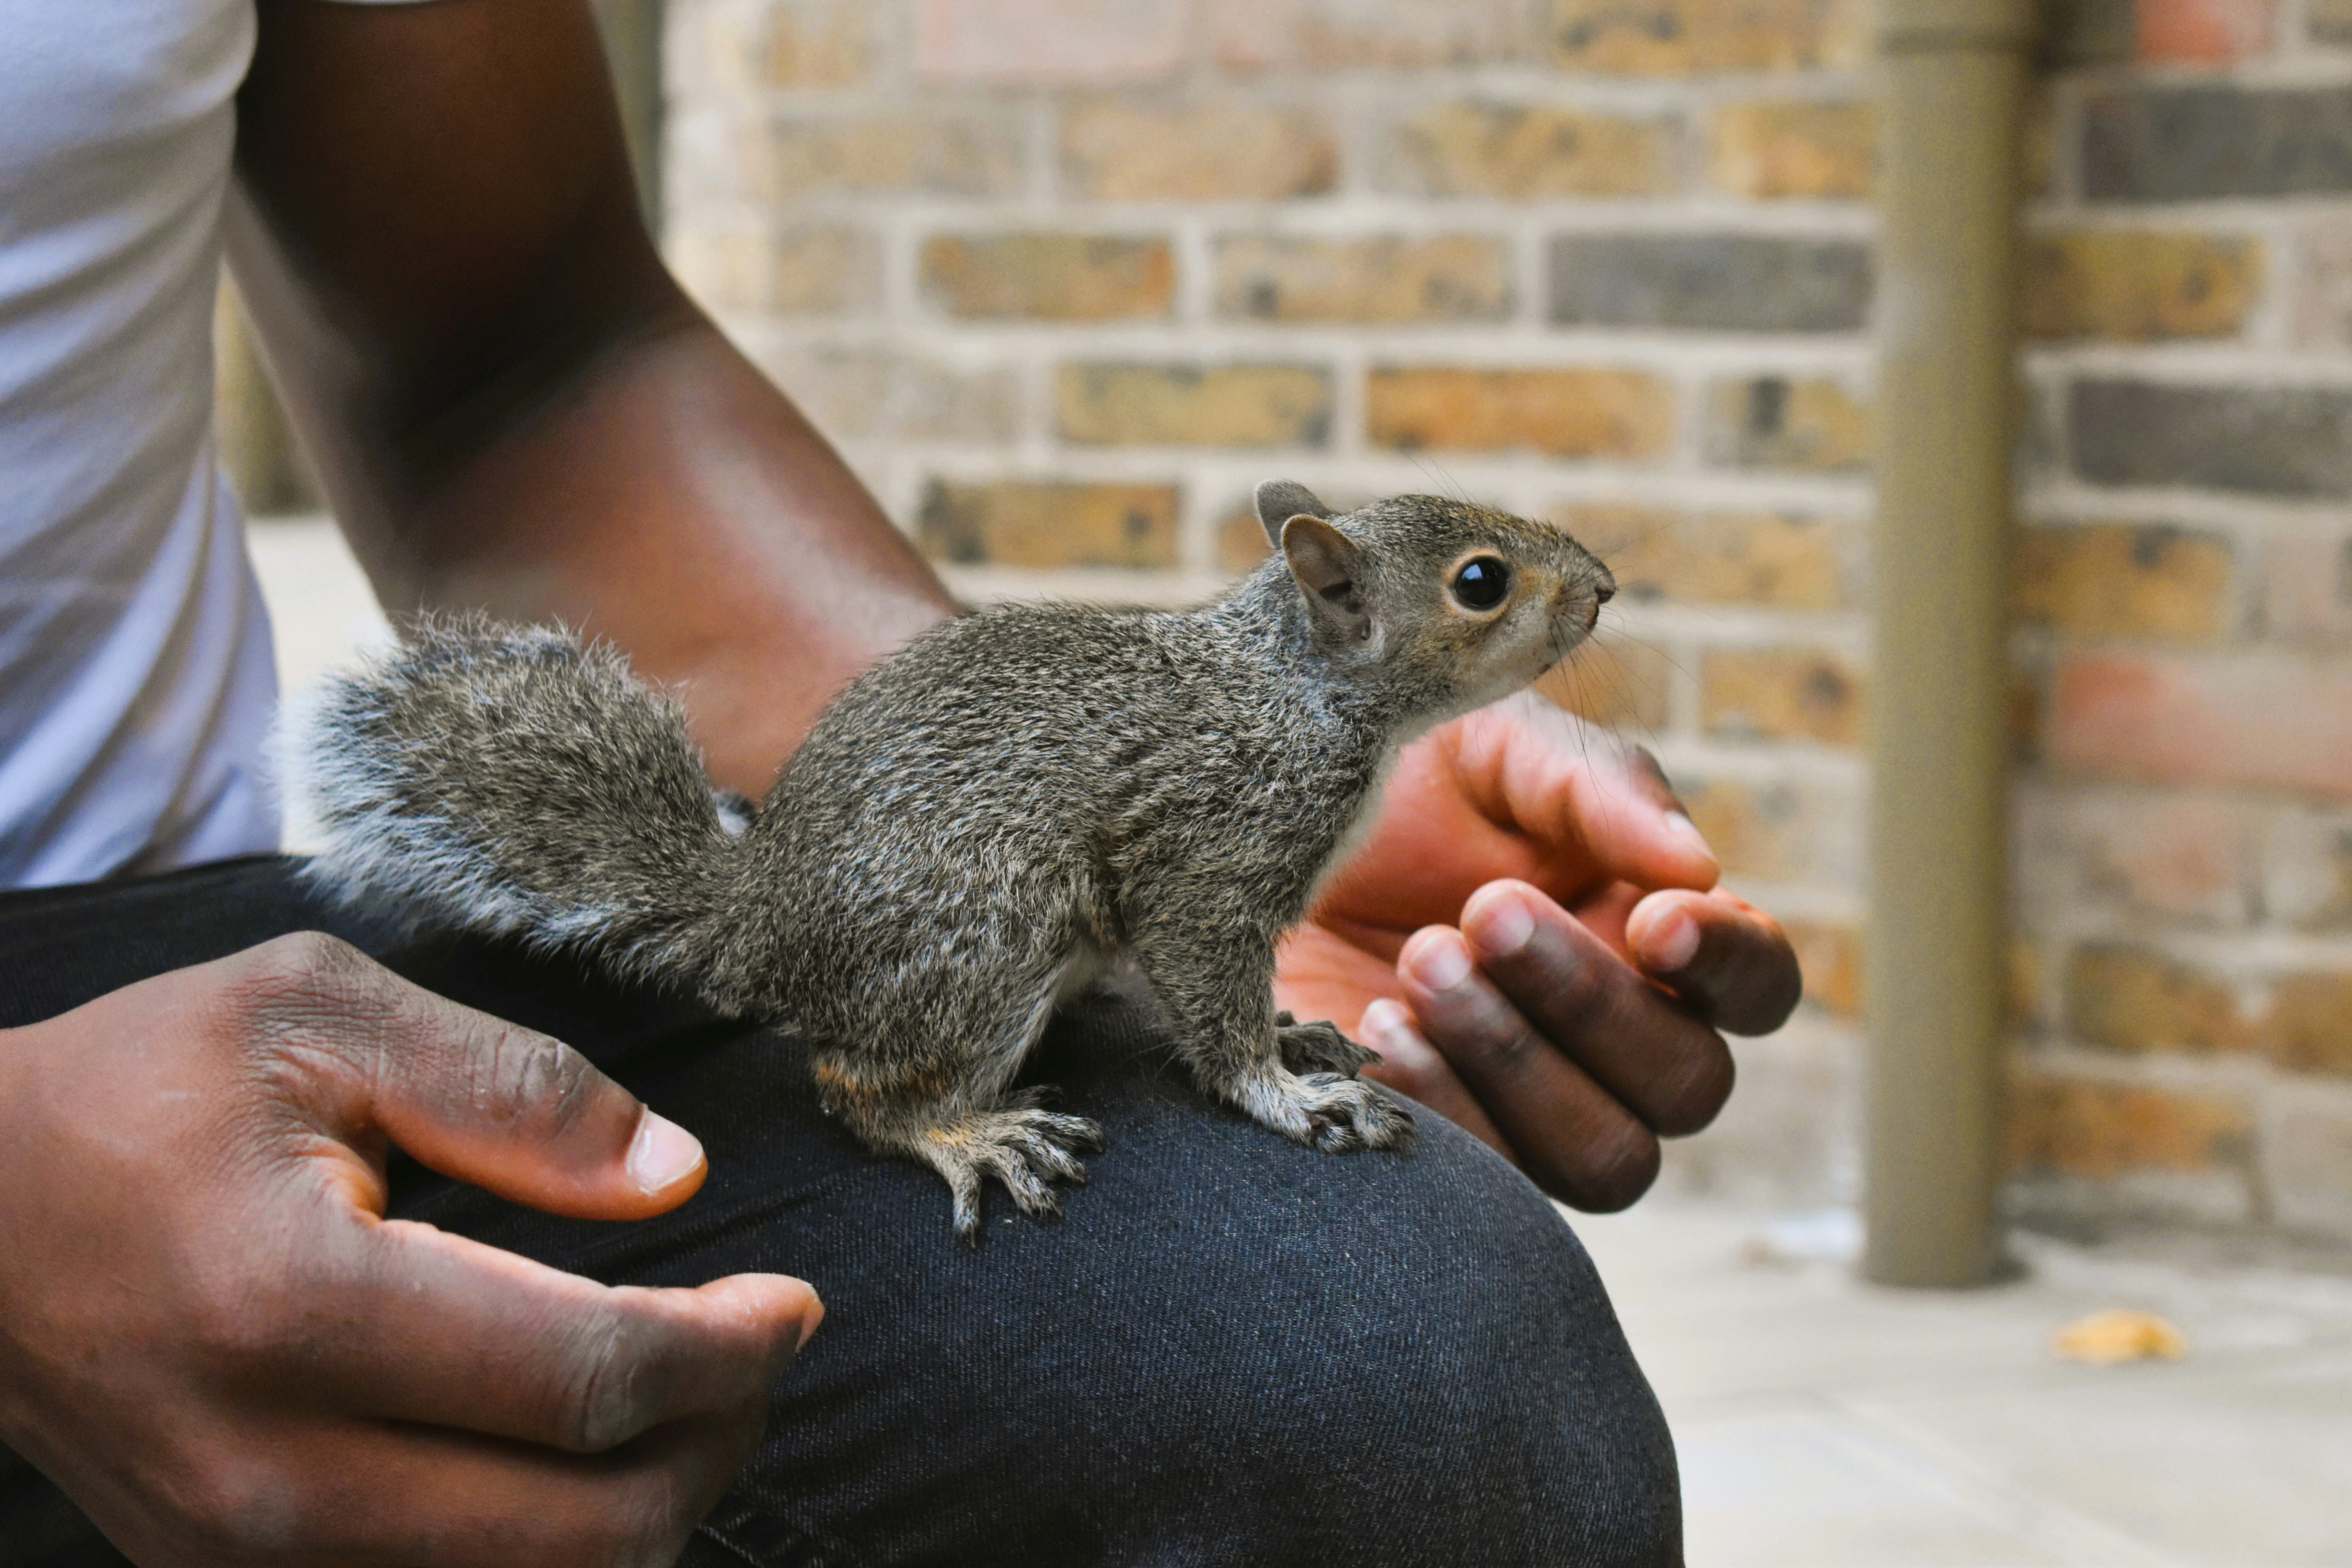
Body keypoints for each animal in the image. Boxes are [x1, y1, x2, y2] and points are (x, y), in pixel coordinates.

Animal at [282, 482, 1616, 1239]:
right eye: (1481, 583)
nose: (1604, 585)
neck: (1306, 692)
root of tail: (763, 923)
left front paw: (1298, 1032)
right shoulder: (1211, 857)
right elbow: (1209, 1003)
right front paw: (1285, 1092)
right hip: (982, 932)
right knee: (853, 1089)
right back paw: (964, 1136)